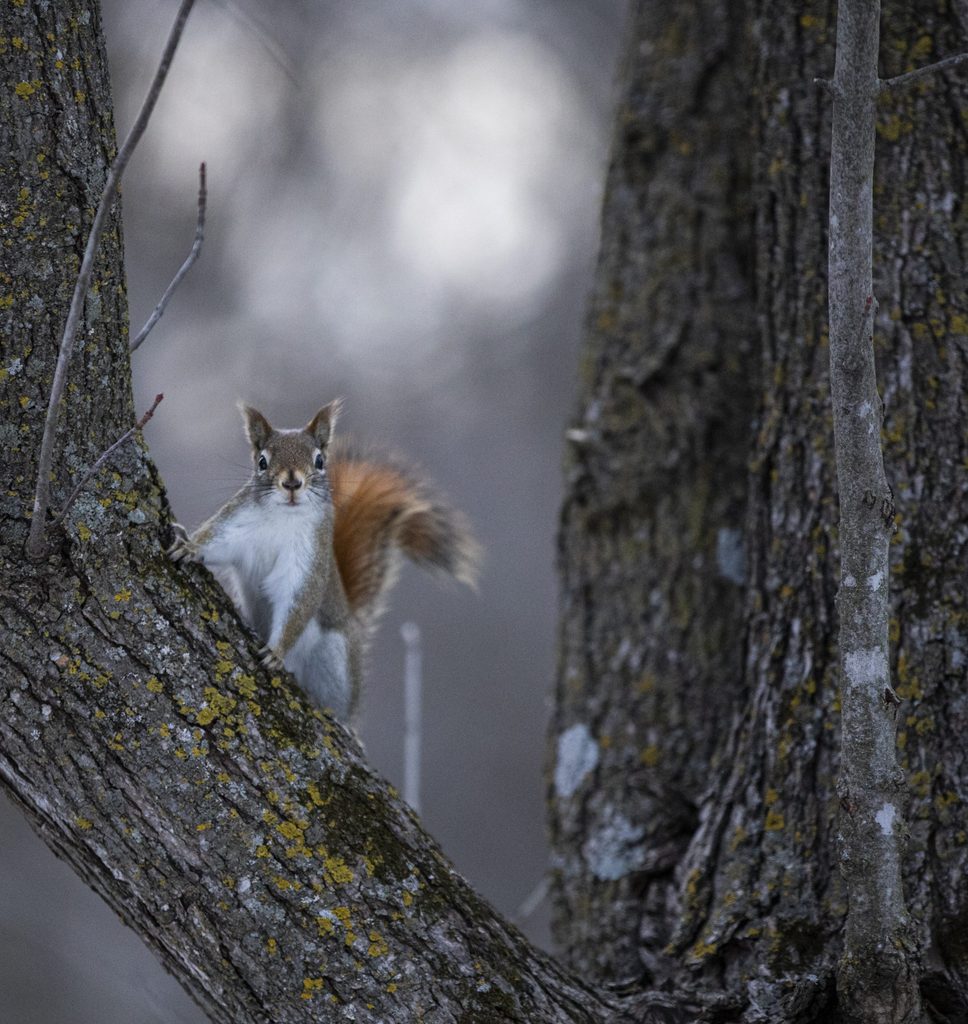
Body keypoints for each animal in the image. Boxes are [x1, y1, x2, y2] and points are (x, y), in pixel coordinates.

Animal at [168, 400, 479, 723]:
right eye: (262, 462)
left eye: (319, 460)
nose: (292, 482)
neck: (283, 517)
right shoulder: (236, 526)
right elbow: (214, 541)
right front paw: (188, 547)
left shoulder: (308, 559)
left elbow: (298, 601)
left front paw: (276, 653)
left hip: (334, 660)